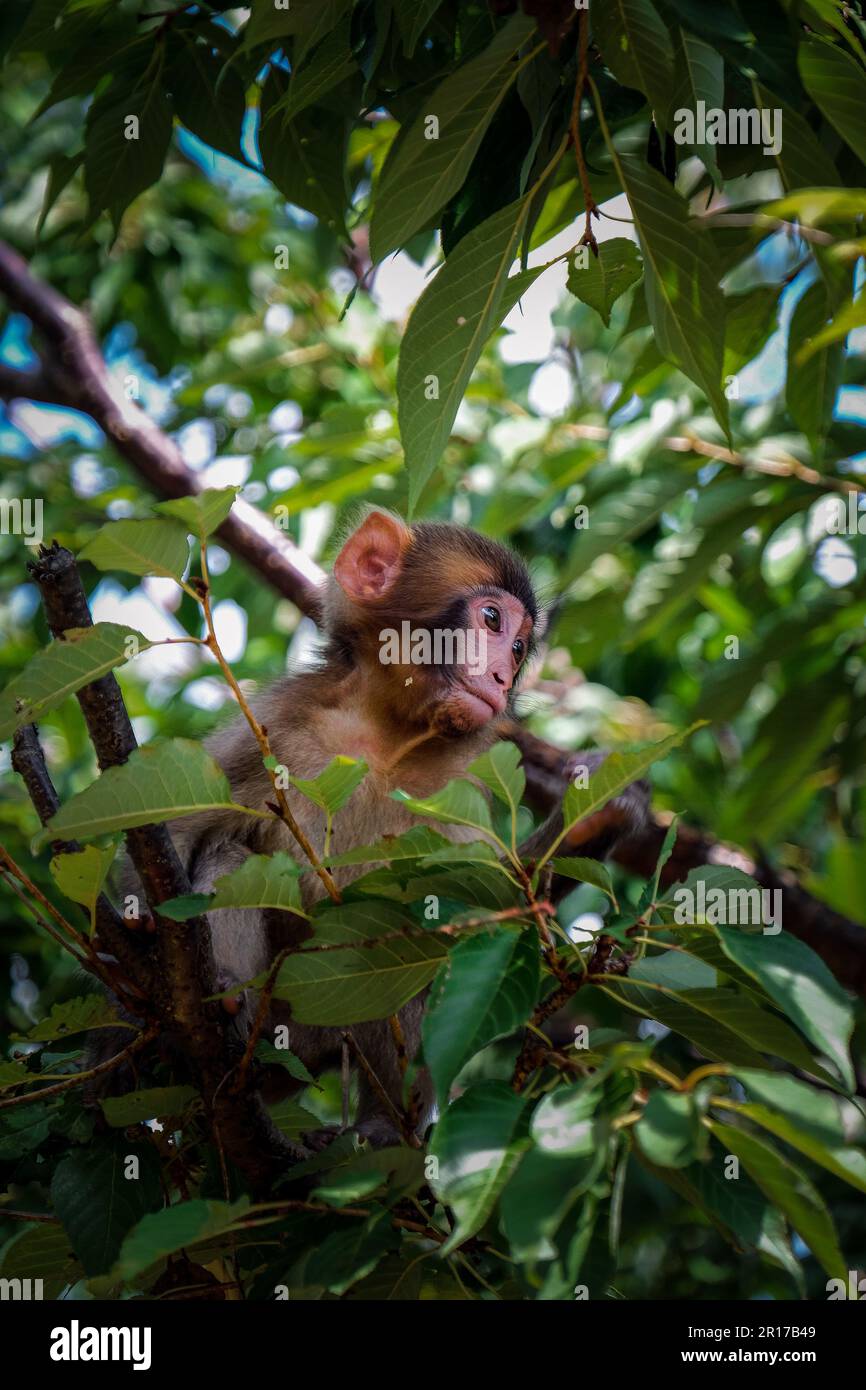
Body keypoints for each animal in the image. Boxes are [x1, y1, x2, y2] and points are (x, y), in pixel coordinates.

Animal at [117, 510, 648, 1153]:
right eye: (493, 621)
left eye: (521, 649)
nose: (502, 676)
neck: (386, 733)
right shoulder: (275, 723)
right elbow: (176, 827)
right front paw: (139, 945)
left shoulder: (462, 781)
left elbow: (484, 902)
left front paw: (591, 818)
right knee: (231, 855)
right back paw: (226, 1005)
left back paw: (383, 1128)